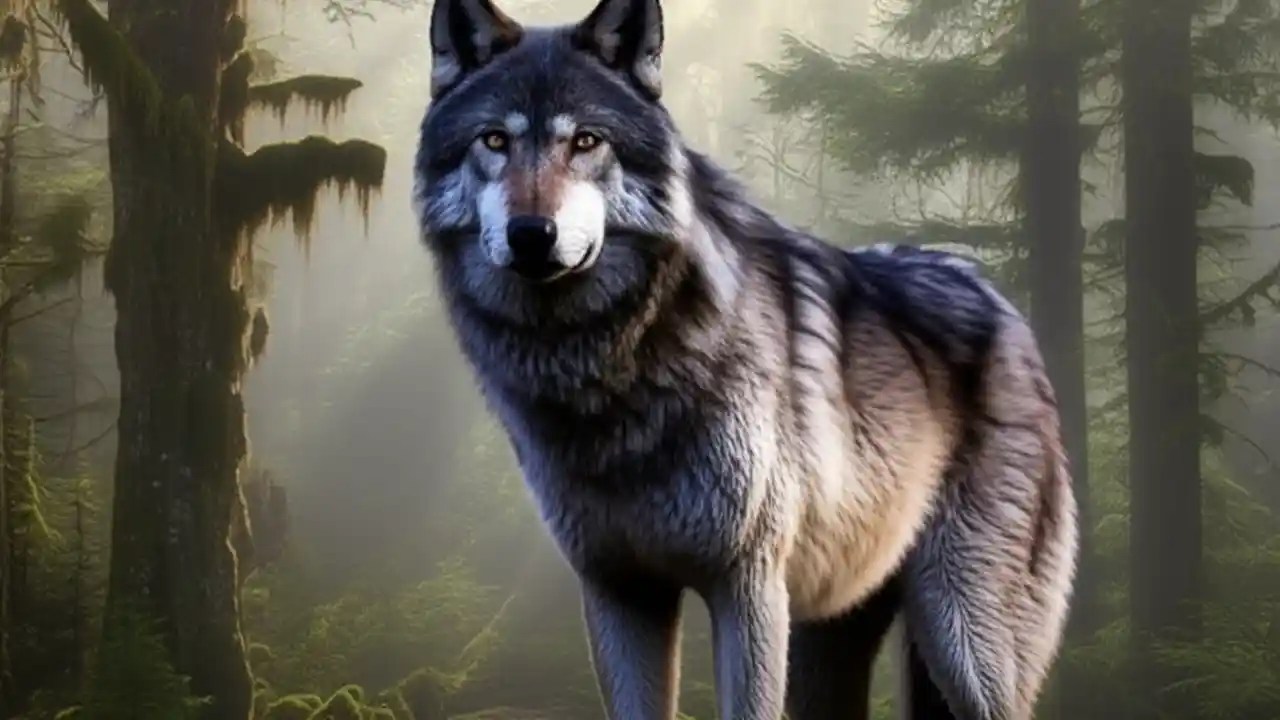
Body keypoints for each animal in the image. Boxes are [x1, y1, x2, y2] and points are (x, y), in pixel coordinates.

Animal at [413, 1, 1078, 718]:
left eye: (586, 142)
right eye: (494, 142)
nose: (532, 234)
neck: (614, 371)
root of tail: (1001, 303)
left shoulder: (747, 586)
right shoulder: (618, 591)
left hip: (962, 640)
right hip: (831, 645)